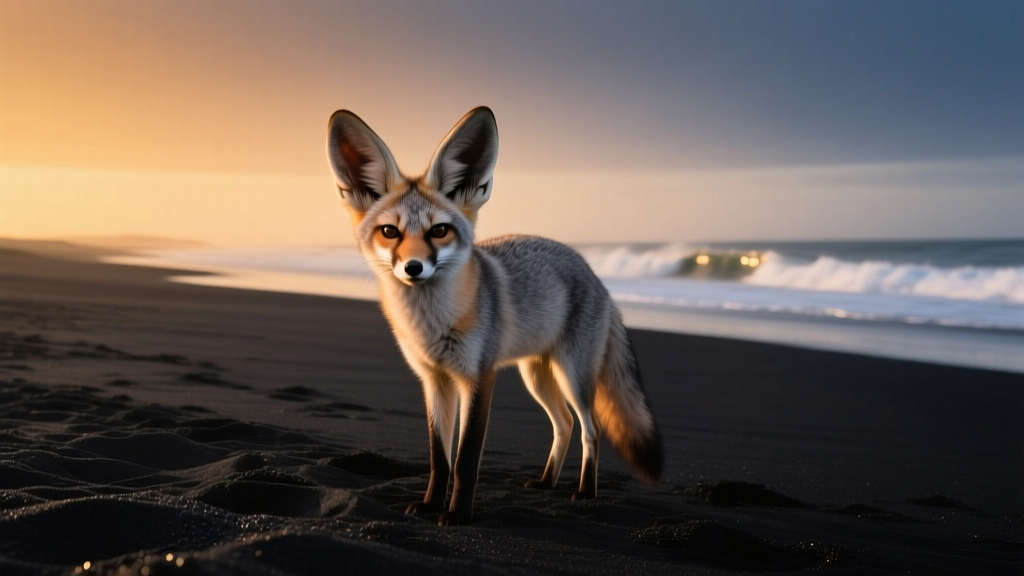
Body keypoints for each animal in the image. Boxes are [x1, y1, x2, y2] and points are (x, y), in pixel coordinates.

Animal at [325, 106, 663, 525]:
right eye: (390, 232)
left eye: (439, 231)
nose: (413, 268)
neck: (433, 324)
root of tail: (596, 276)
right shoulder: (434, 381)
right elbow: (440, 459)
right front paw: (430, 506)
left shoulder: (478, 377)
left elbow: (465, 459)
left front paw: (457, 515)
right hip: (536, 377)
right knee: (564, 425)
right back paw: (547, 483)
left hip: (573, 376)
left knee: (591, 429)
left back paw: (585, 491)